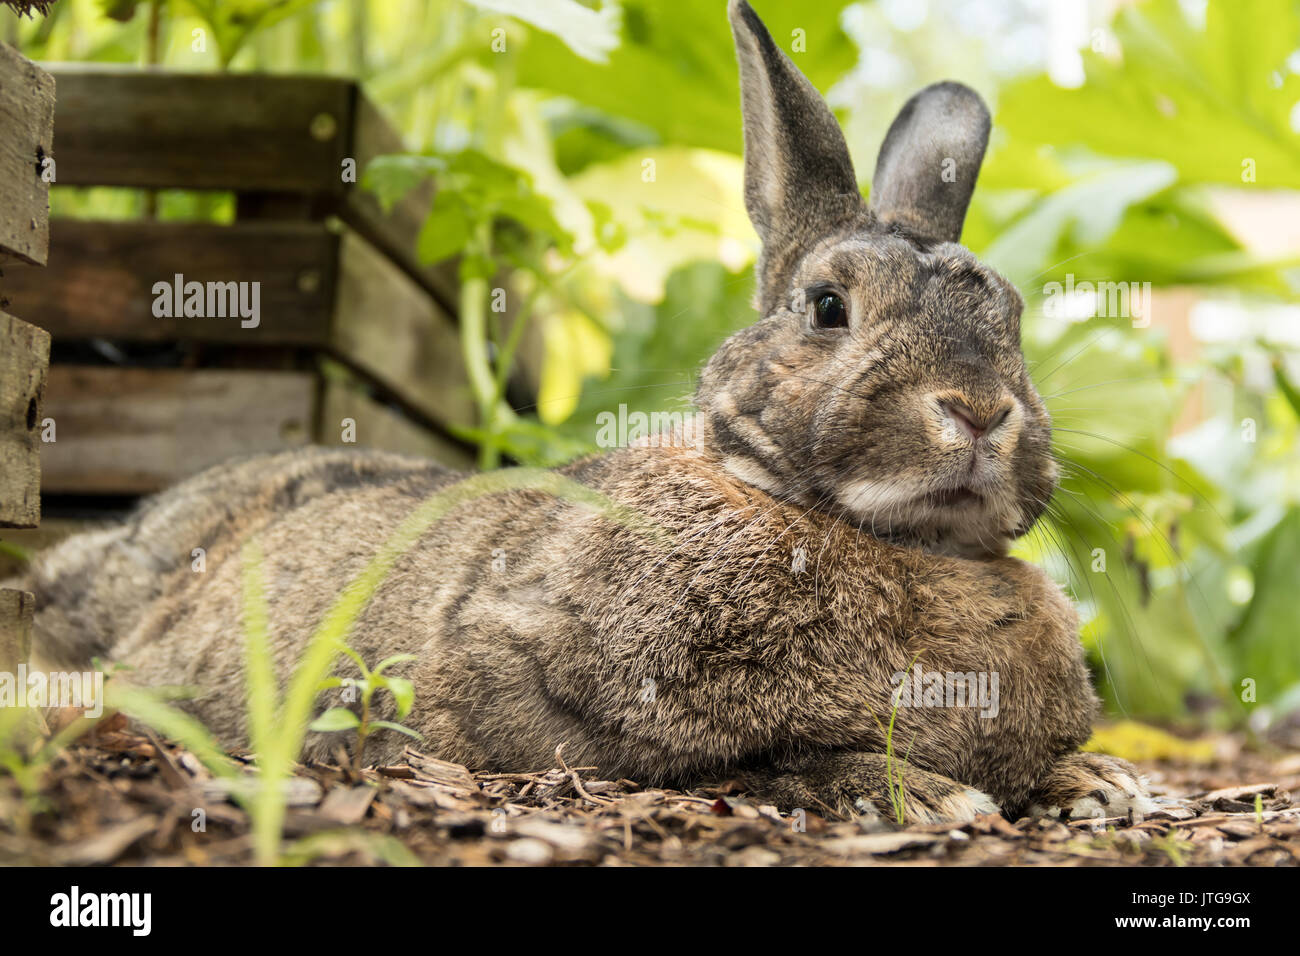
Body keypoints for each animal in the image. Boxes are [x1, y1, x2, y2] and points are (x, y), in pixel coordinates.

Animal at [11, 0, 1154, 825]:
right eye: (829, 307)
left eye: (1012, 319)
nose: (980, 410)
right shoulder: (541, 697)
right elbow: (768, 757)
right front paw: (930, 794)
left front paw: (1097, 786)